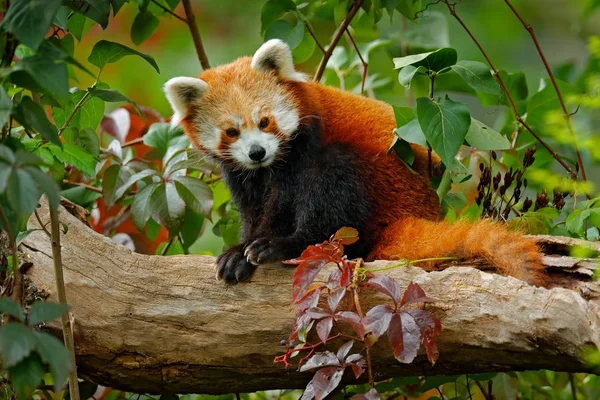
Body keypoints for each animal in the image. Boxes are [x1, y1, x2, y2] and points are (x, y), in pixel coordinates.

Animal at [164, 39, 548, 286]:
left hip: (377, 187)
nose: (257, 152)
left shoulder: (302, 147)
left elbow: (281, 203)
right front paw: (238, 250)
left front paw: (257, 245)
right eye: (231, 131)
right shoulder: (242, 174)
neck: (267, 168)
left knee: (334, 184)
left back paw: (291, 244)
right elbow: (252, 208)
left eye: (265, 122)